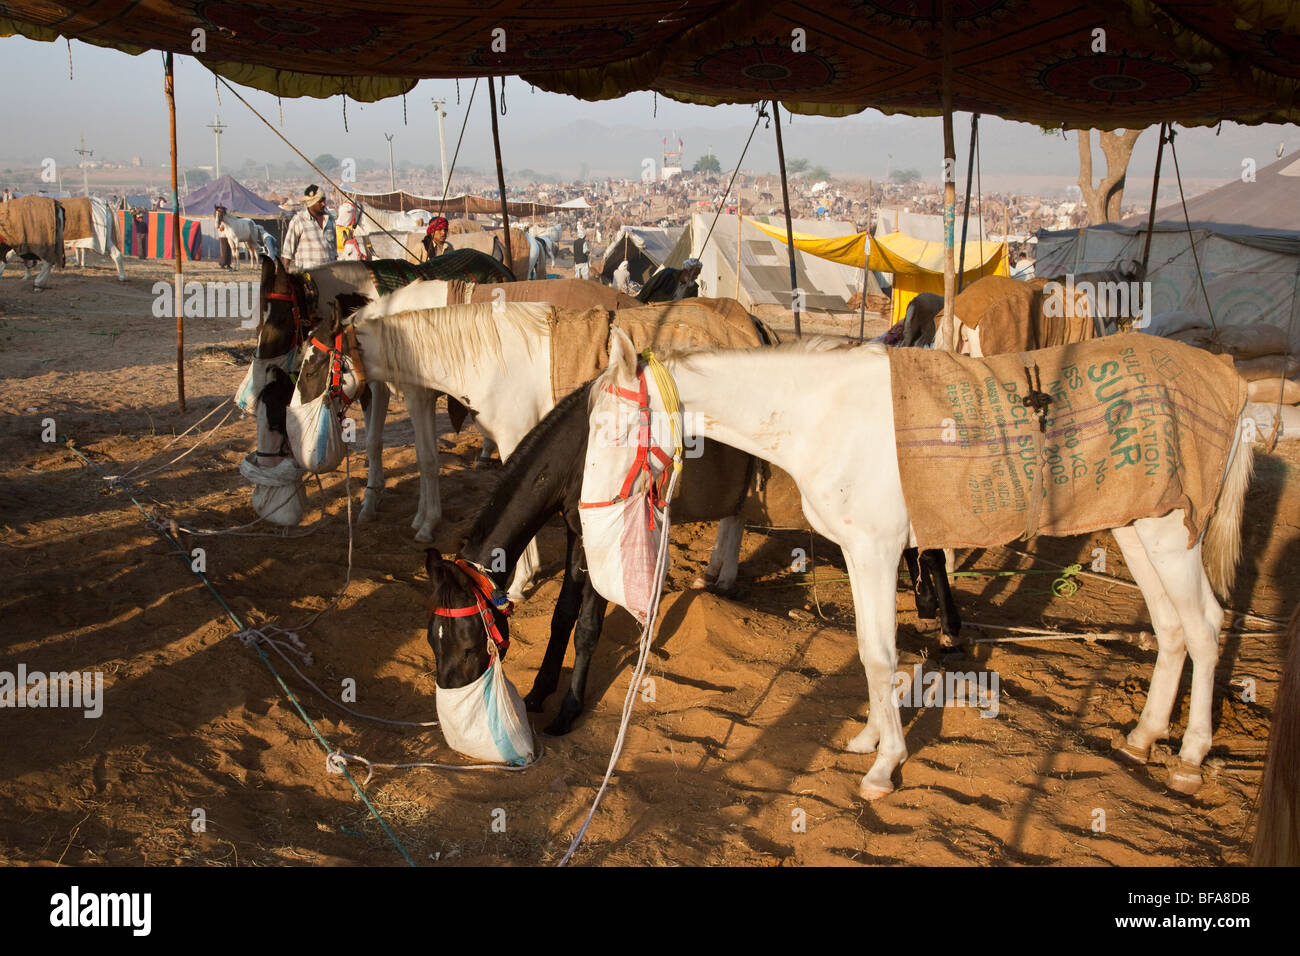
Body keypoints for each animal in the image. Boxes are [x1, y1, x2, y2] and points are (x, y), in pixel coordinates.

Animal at [580, 328, 1257, 800]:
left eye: (613, 428)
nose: (590, 522)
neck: (822, 415)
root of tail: (1231, 384)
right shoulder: (861, 554)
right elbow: (868, 649)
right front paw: (870, 740)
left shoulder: (879, 551)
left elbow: (881, 656)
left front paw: (885, 765)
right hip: (1136, 526)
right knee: (1170, 629)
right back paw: (1144, 736)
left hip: (1171, 533)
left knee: (1204, 627)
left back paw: (1190, 757)